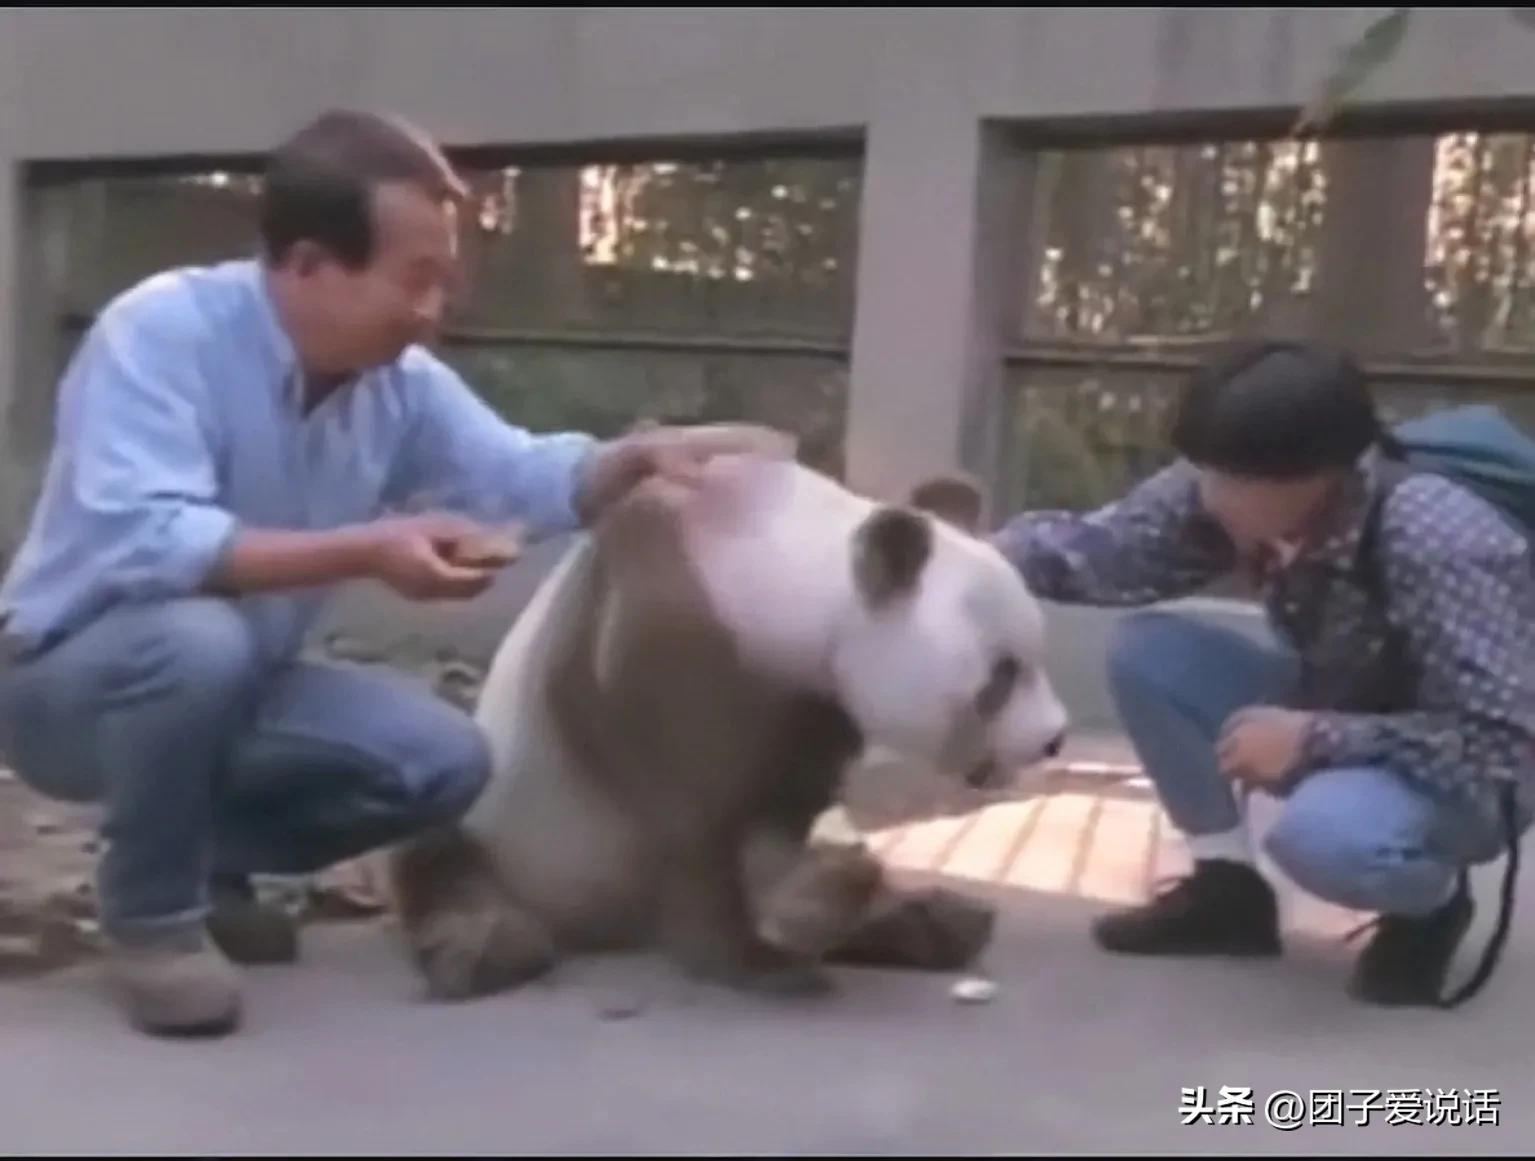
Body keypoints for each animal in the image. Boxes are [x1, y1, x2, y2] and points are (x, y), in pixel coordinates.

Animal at [389, 450, 1070, 1001]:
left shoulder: (811, 704)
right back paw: (485, 949)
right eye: (1001, 674)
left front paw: (816, 900)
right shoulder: (664, 645)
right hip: (514, 826)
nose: (1051, 739)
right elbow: (694, 819)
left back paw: (935, 920)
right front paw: (756, 960)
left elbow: (788, 809)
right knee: (441, 855)